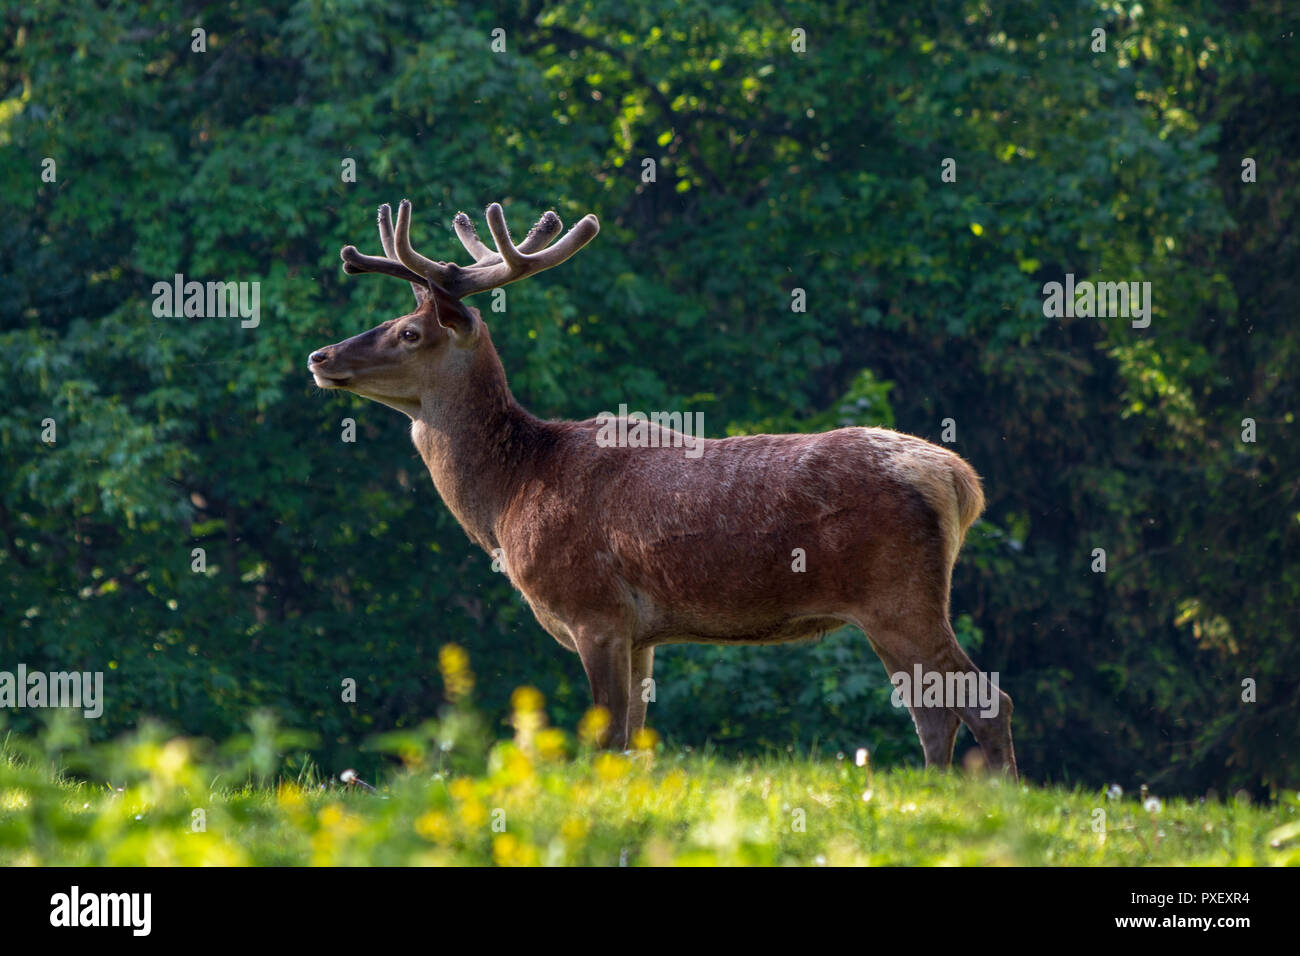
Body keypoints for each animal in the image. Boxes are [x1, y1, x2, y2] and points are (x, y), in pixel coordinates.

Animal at [308, 199, 1017, 779]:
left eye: (409, 332)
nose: (321, 357)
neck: (511, 497)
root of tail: (959, 481)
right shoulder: (642, 635)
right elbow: (633, 743)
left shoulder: (595, 610)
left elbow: (606, 742)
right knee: (934, 713)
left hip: (899, 594)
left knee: (986, 701)